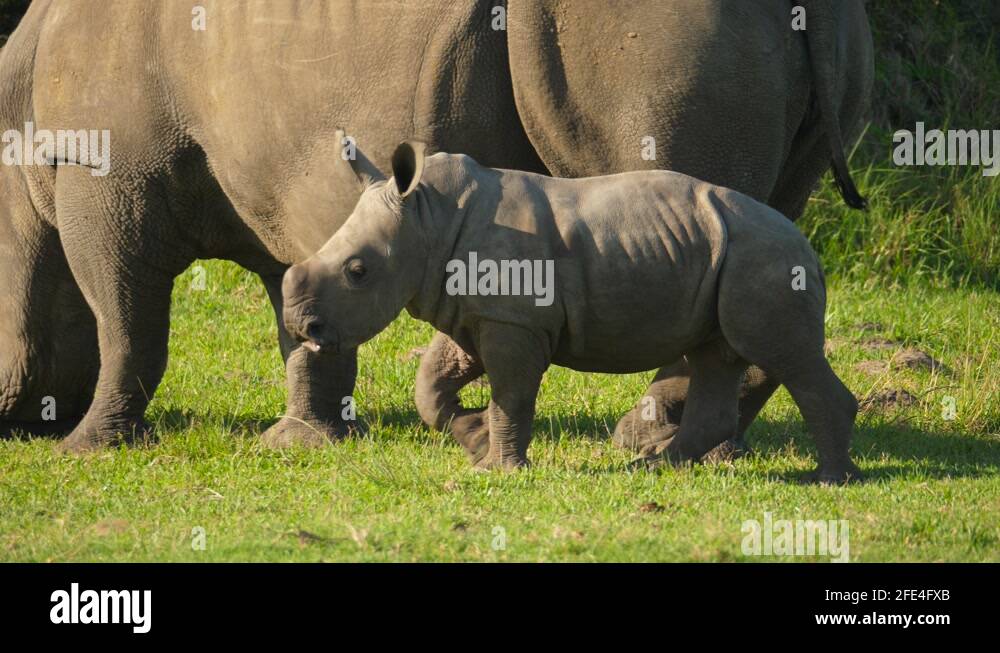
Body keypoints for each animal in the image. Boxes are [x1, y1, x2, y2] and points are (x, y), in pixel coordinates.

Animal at [282, 142, 862, 483]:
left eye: (357, 271)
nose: (303, 327)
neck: (427, 220)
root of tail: (809, 246)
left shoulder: (512, 319)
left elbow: (512, 394)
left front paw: (498, 470)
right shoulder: (474, 307)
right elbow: (432, 385)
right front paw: (475, 440)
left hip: (764, 258)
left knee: (781, 355)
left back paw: (829, 480)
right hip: (730, 254)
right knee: (714, 357)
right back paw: (656, 468)